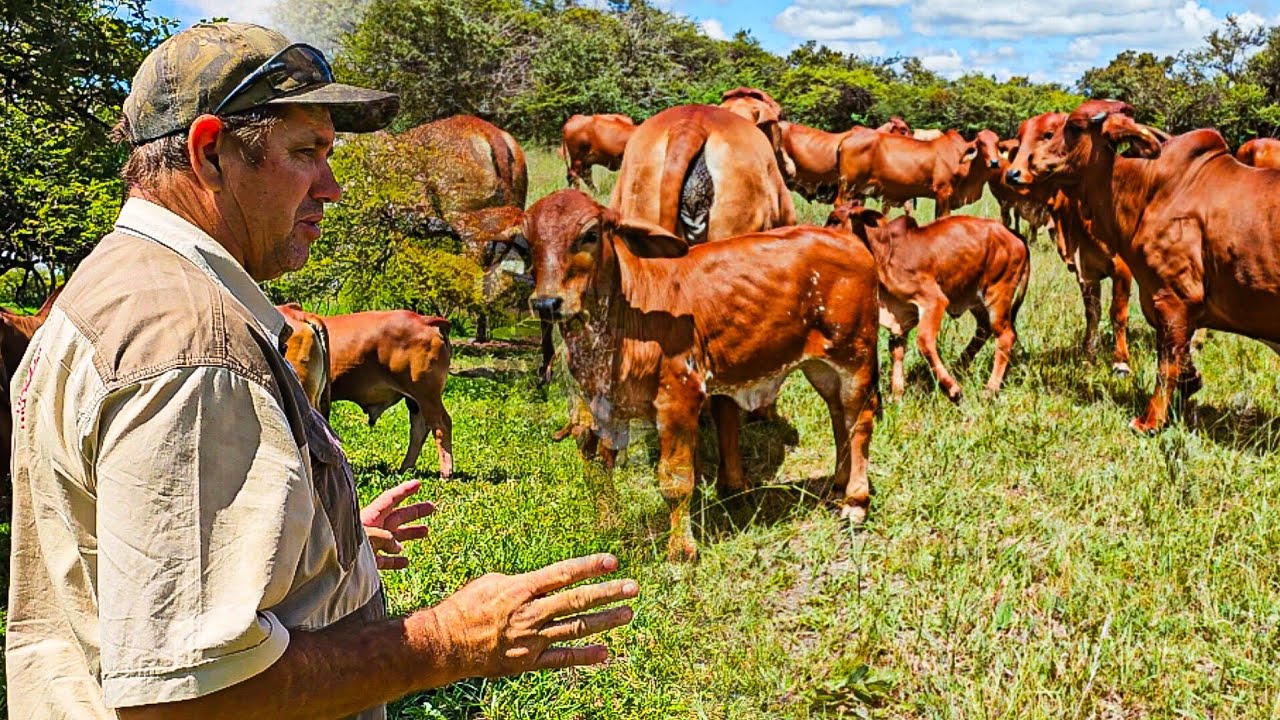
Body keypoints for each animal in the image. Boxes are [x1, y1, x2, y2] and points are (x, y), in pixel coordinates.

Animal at [281, 307, 454, 477]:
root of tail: (425, 320)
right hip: (415, 399)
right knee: (420, 429)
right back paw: (405, 469)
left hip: (426, 394)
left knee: (442, 425)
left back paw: (445, 473)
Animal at [525, 189, 881, 561]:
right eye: (527, 240)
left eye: (590, 234)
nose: (547, 303)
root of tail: (850, 240)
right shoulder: (601, 411)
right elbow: (600, 469)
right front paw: (608, 525)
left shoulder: (679, 399)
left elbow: (676, 480)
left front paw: (682, 550)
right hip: (821, 367)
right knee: (839, 416)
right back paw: (838, 487)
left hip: (855, 357)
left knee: (860, 421)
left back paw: (855, 501)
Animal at [827, 205, 1030, 402]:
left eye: (835, 220)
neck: (883, 252)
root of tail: (1016, 237)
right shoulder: (899, 316)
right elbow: (896, 351)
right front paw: (897, 396)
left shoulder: (933, 300)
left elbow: (924, 343)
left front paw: (953, 391)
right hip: (976, 298)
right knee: (984, 329)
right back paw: (959, 368)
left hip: (997, 293)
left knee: (1005, 336)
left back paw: (989, 390)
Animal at [835, 128, 1003, 218]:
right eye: (980, 143)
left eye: (997, 143)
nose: (994, 163)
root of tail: (846, 138)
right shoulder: (943, 191)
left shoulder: (938, 197)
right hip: (847, 186)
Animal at [1015, 99, 1280, 433]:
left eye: (1072, 127)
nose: (1020, 169)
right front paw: (1191, 381)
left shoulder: (1171, 298)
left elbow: (1166, 362)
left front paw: (1150, 420)